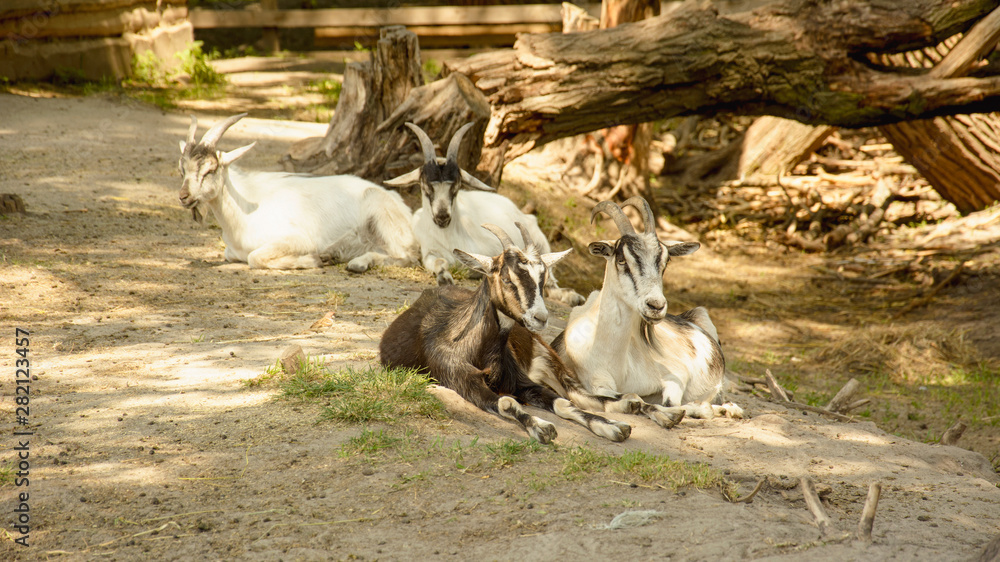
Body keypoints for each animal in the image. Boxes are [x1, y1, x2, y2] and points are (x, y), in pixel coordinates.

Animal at [178, 113, 418, 271]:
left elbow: (255, 258)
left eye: (209, 169)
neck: (243, 211)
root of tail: (403, 208)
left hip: (379, 211)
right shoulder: (231, 251)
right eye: (182, 170)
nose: (184, 197)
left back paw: (356, 263)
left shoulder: (298, 239)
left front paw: (312, 260)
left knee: (406, 256)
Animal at [379, 223, 631, 443]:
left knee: (574, 390)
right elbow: (507, 403)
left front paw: (612, 426)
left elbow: (563, 403)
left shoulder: (521, 381)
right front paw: (541, 427)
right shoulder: (463, 381)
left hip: (545, 351)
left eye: (543, 279)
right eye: (506, 278)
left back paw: (627, 403)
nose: (540, 317)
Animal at [384, 122, 584, 306]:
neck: (450, 234)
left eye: (456, 187)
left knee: (550, 281)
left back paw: (574, 297)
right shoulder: (429, 251)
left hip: (540, 241)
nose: (442, 217)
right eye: (426, 187)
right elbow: (440, 262)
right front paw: (444, 278)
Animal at [553, 197, 743, 421]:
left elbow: (670, 402)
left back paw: (729, 408)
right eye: (622, 259)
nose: (656, 305)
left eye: (665, 262)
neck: (615, 360)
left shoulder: (676, 375)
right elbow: (635, 398)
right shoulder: (598, 383)